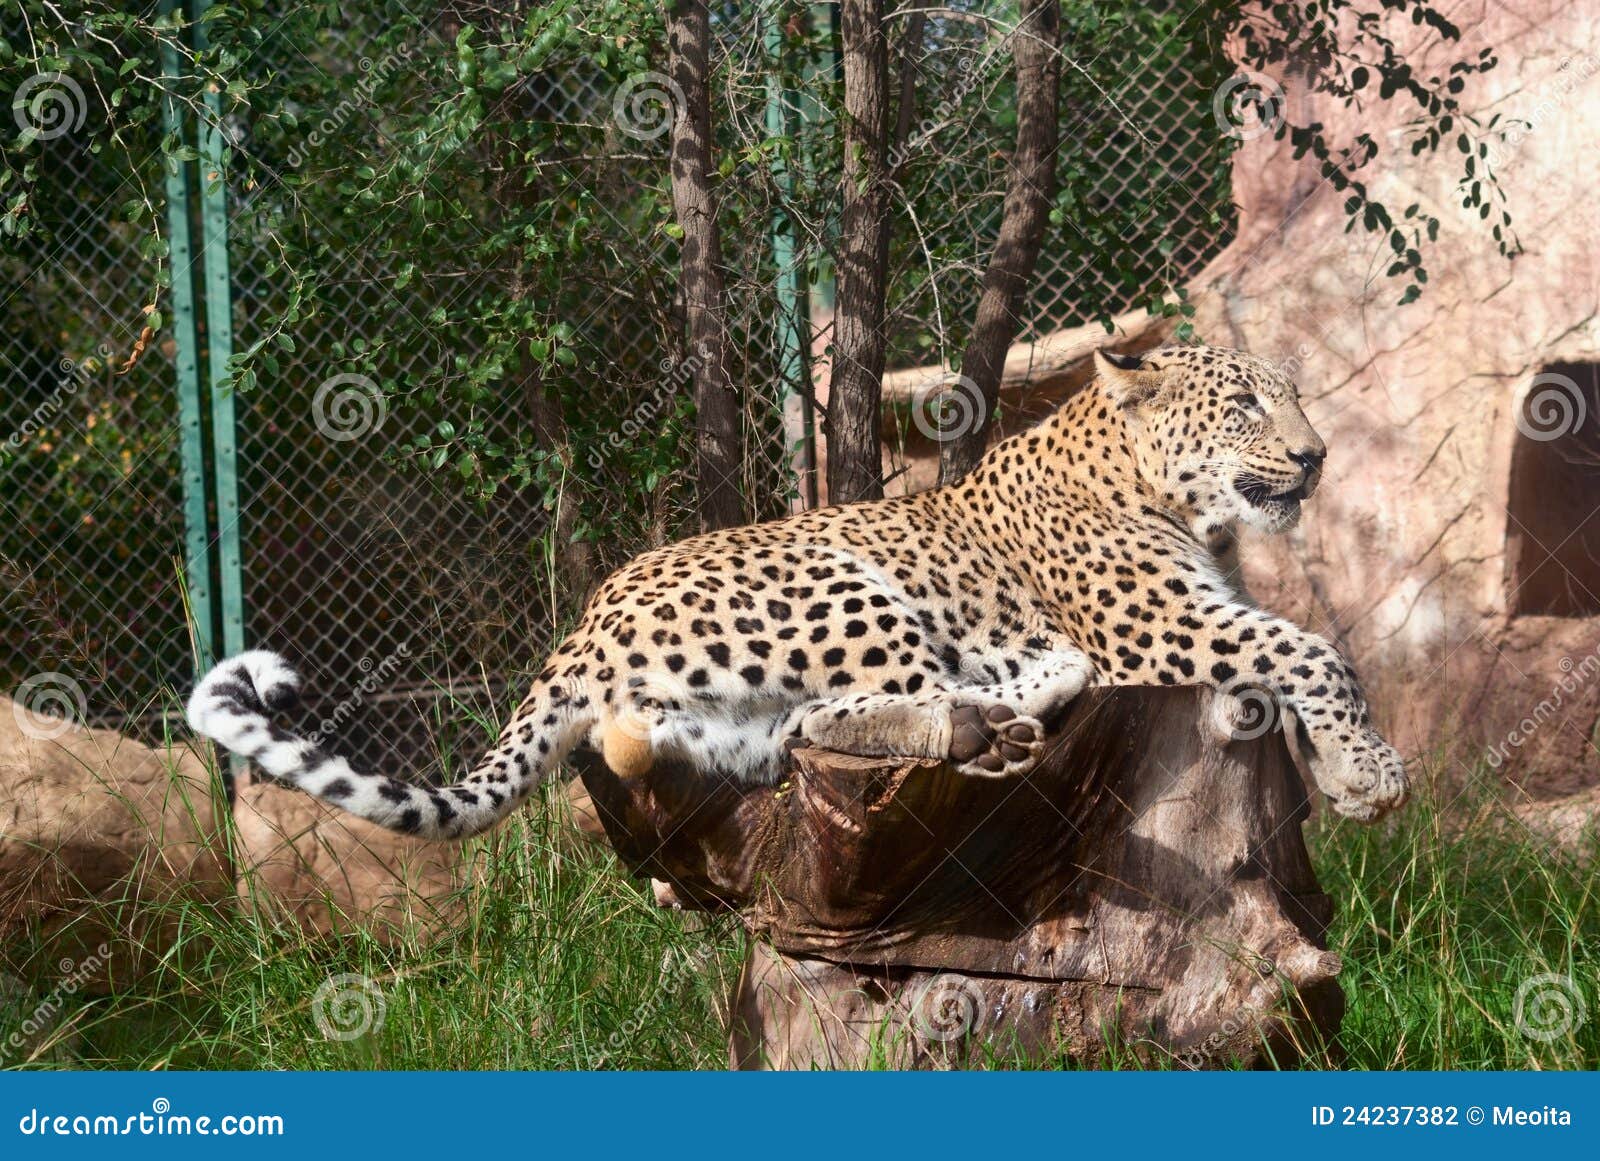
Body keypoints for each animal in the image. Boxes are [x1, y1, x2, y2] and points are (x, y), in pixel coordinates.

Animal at [187, 343, 1408, 840]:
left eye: (1289, 399)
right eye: (1245, 404)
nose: (1316, 459)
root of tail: (579, 628)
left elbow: (1296, 657)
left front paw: (1341, 778)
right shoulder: (1161, 623)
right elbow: (1312, 649)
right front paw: (1376, 774)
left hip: (715, 723)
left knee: (809, 728)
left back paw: (1018, 697)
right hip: (840, 582)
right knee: (908, 699)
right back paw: (1008, 707)